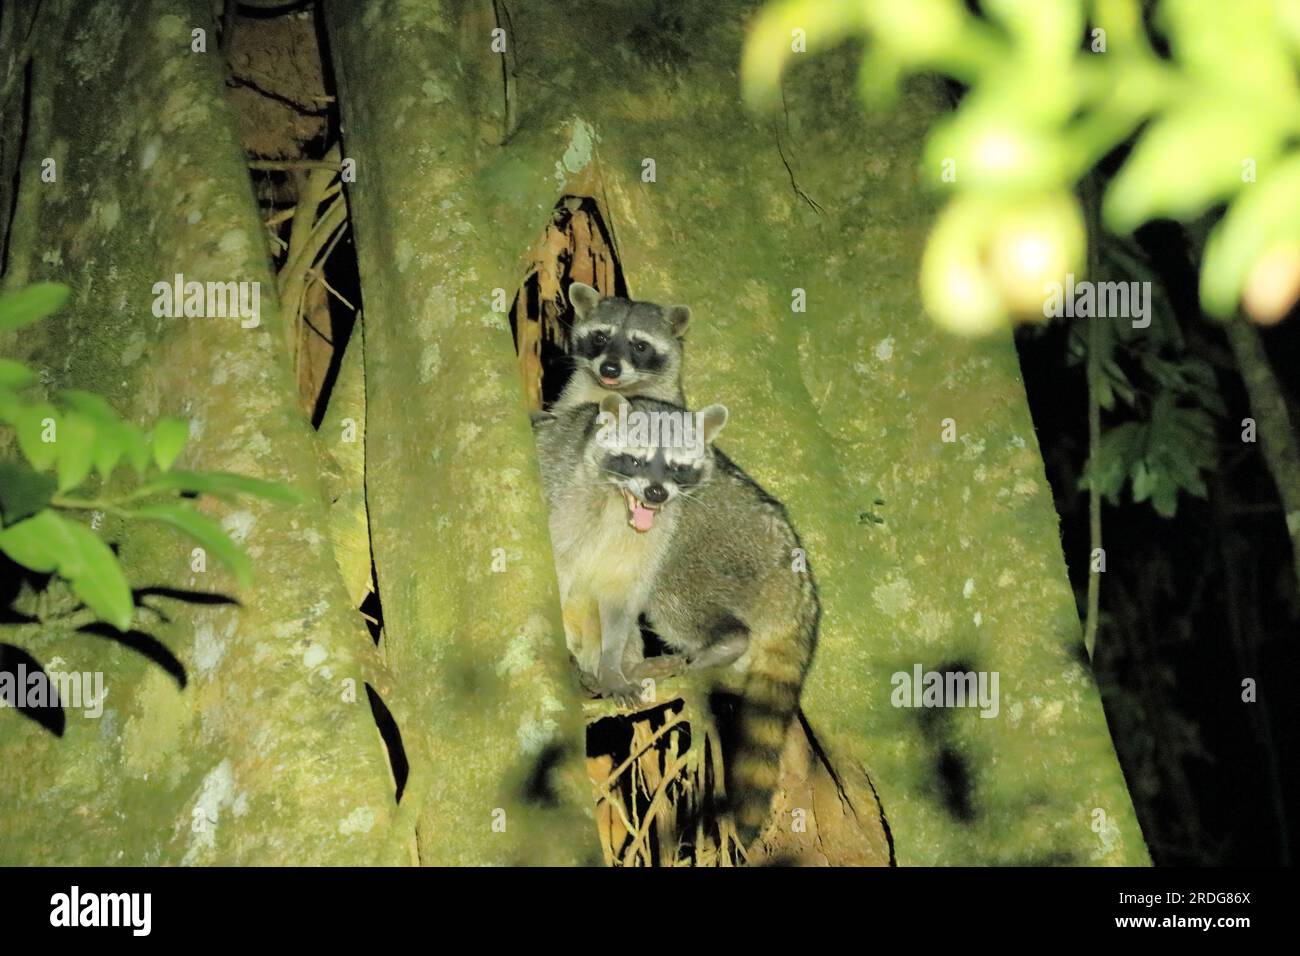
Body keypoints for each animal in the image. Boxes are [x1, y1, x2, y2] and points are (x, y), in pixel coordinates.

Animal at [533, 392, 728, 702]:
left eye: (677, 467)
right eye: (636, 461)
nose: (656, 493)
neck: (619, 503)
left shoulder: (656, 537)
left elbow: (621, 594)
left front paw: (613, 667)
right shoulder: (564, 501)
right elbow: (557, 572)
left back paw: (632, 666)